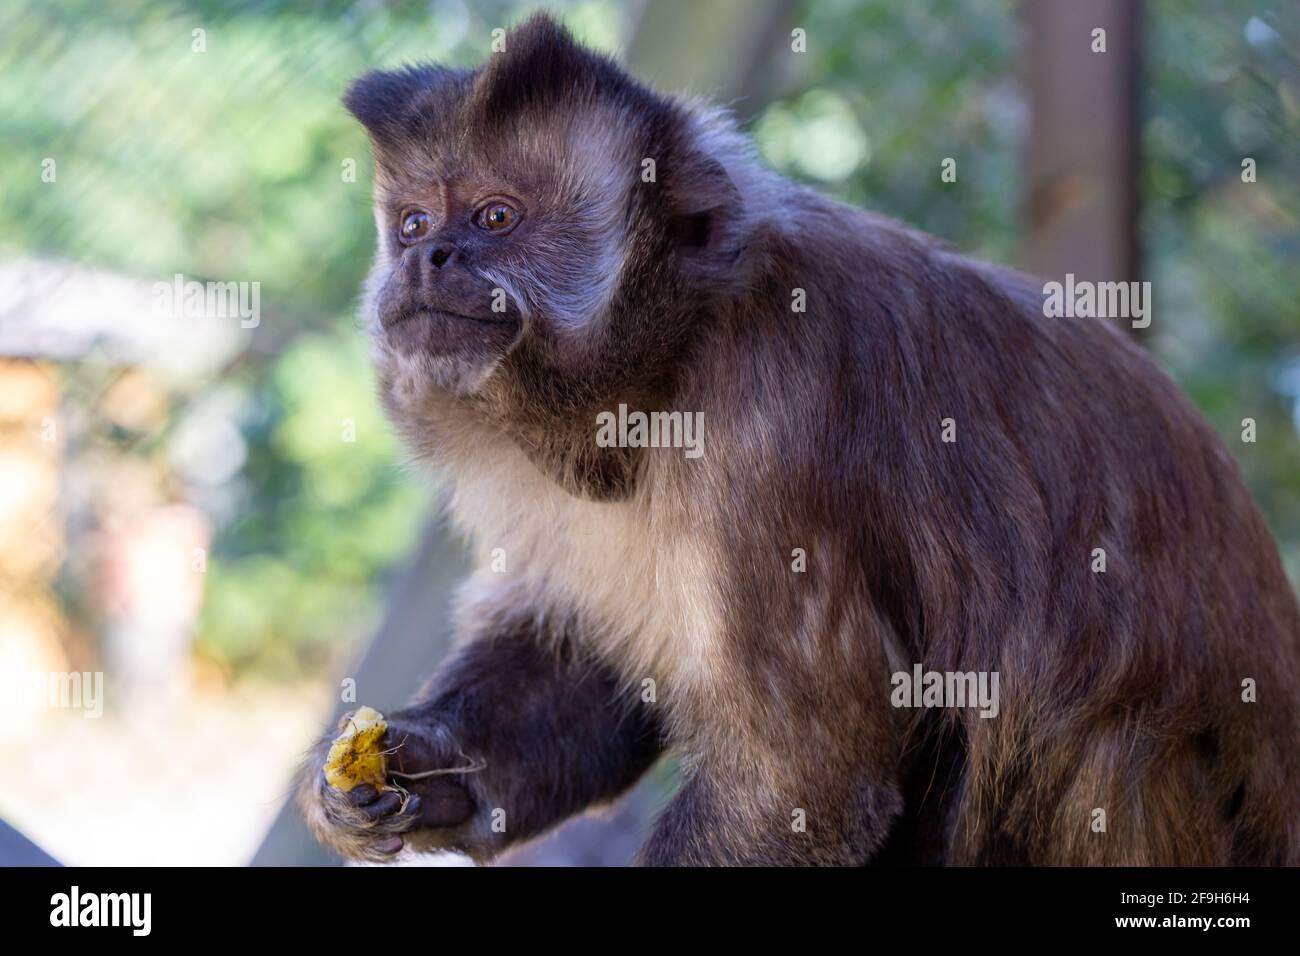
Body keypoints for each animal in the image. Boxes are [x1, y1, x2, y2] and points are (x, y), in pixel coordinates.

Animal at [298, 13, 1300, 866]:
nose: (428, 259)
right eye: (415, 223)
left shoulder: (770, 430)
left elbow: (802, 783)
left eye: (497, 217)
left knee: (1084, 749)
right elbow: (576, 673)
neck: (661, 378)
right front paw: (408, 765)